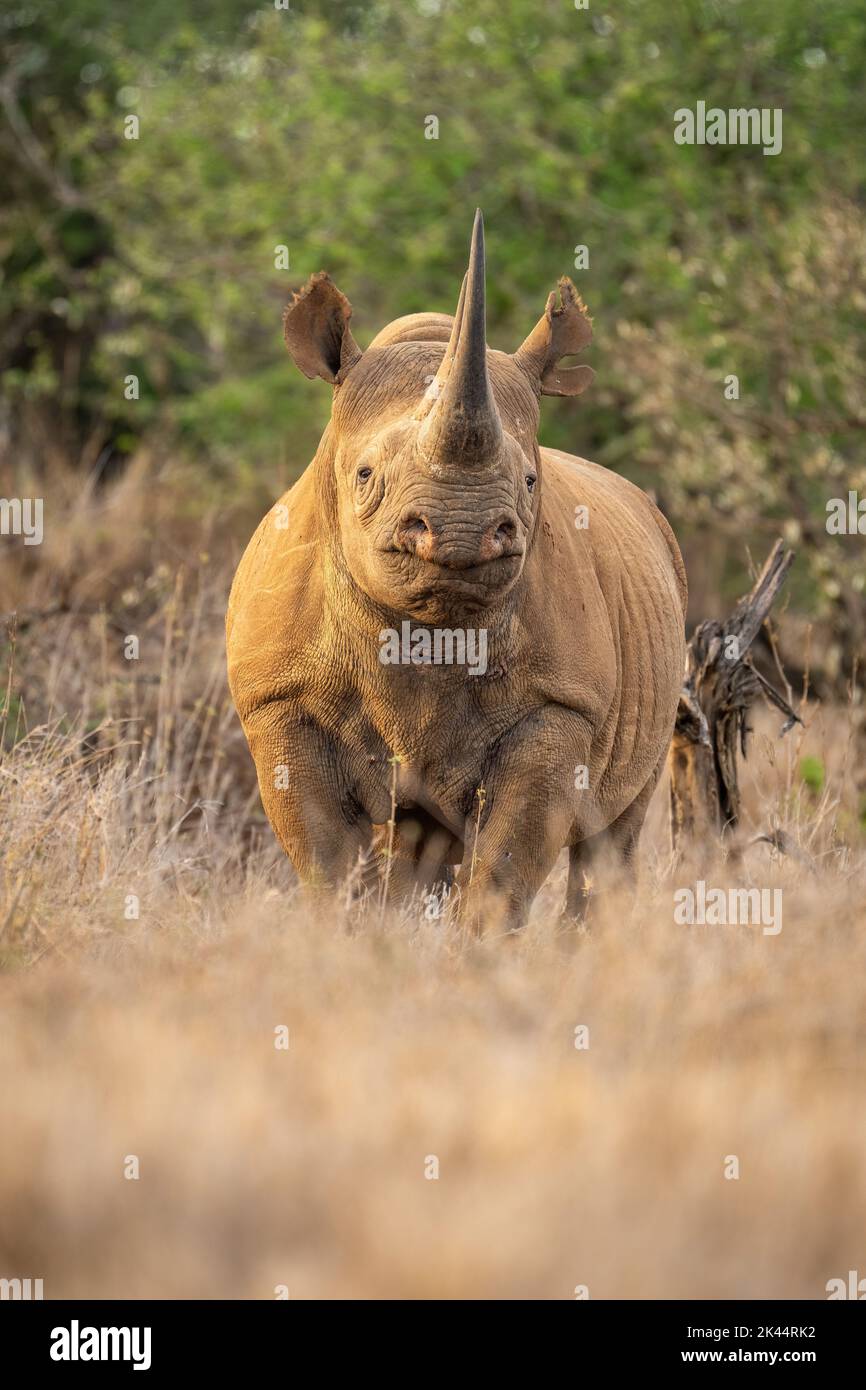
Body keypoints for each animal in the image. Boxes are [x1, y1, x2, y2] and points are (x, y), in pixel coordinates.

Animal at [226, 211, 687, 930]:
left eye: (530, 481)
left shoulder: (560, 707)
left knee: (613, 834)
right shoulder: (279, 698)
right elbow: (327, 864)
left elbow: (503, 874)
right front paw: (341, 942)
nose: (464, 529)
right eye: (366, 475)